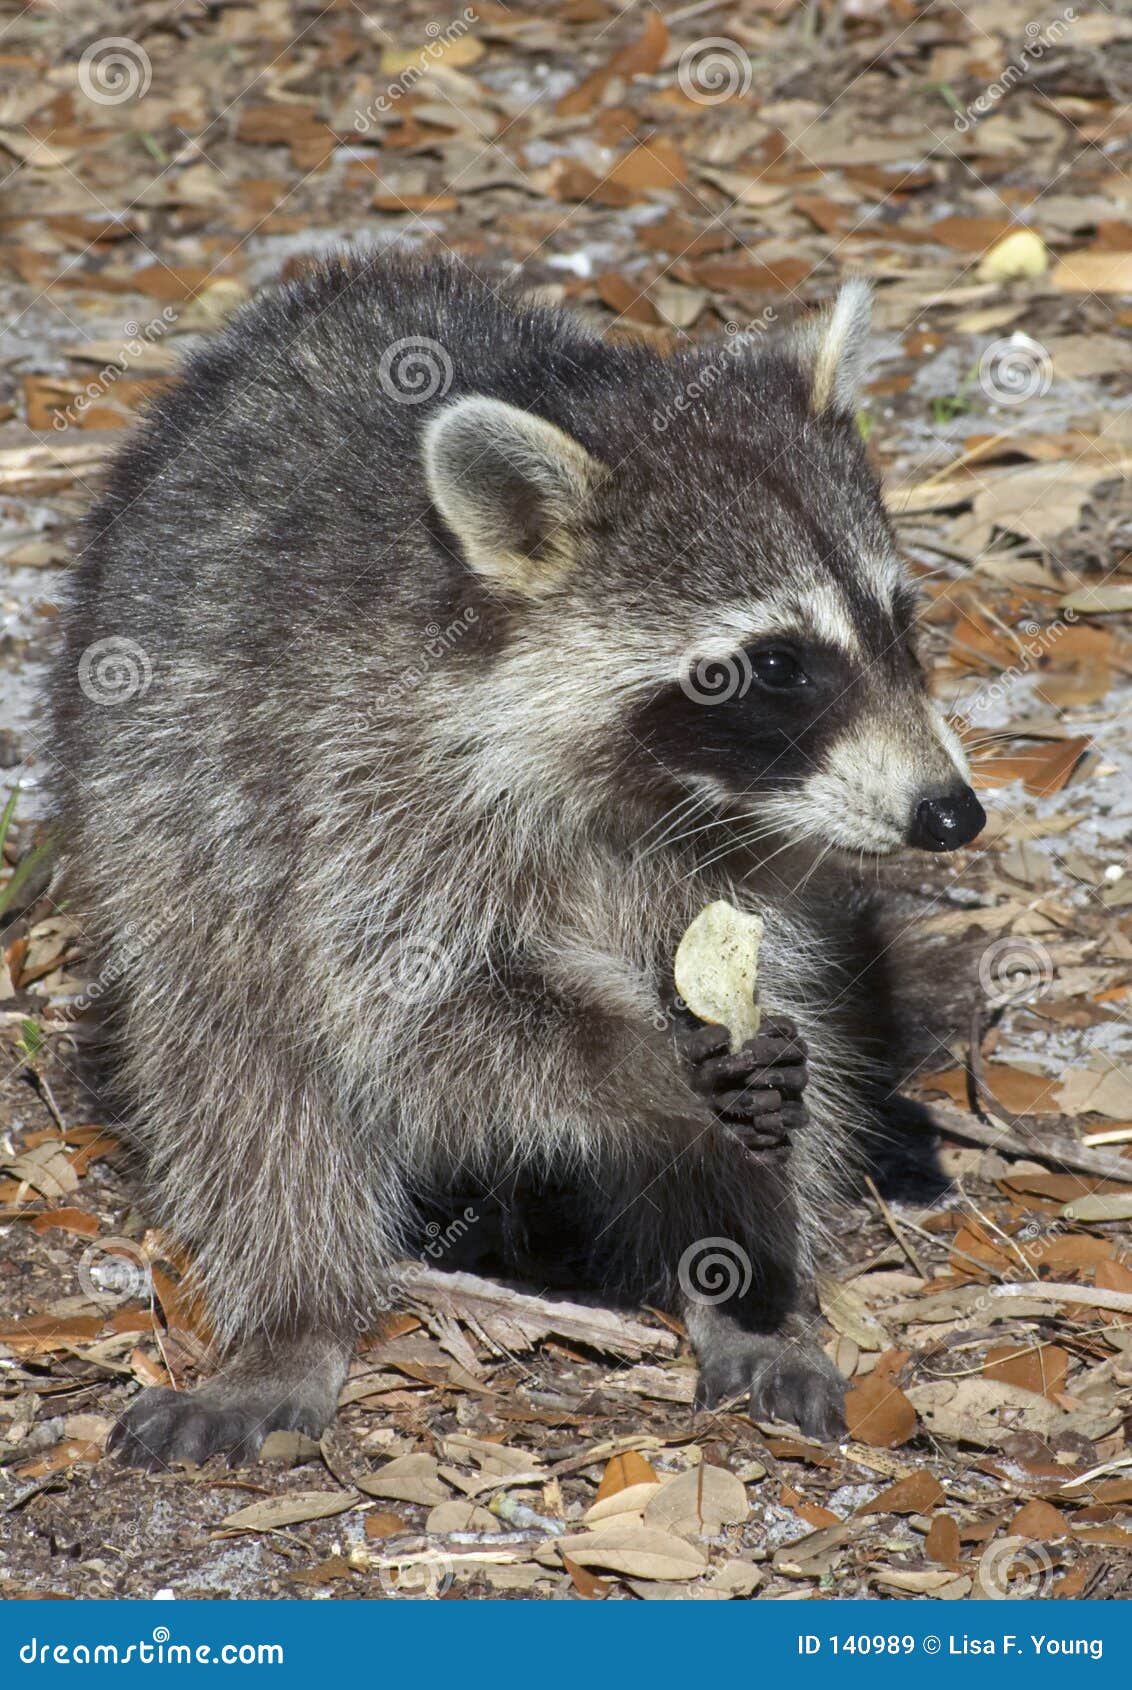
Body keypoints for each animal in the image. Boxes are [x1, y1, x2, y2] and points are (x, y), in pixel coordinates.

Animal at [49, 255, 984, 1467]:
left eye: (898, 622)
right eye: (777, 664)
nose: (951, 814)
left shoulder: (747, 851)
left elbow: (779, 990)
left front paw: (746, 1229)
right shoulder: (354, 783)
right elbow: (412, 1012)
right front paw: (640, 1057)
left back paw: (744, 1283)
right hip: (166, 838)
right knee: (244, 1076)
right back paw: (295, 1309)